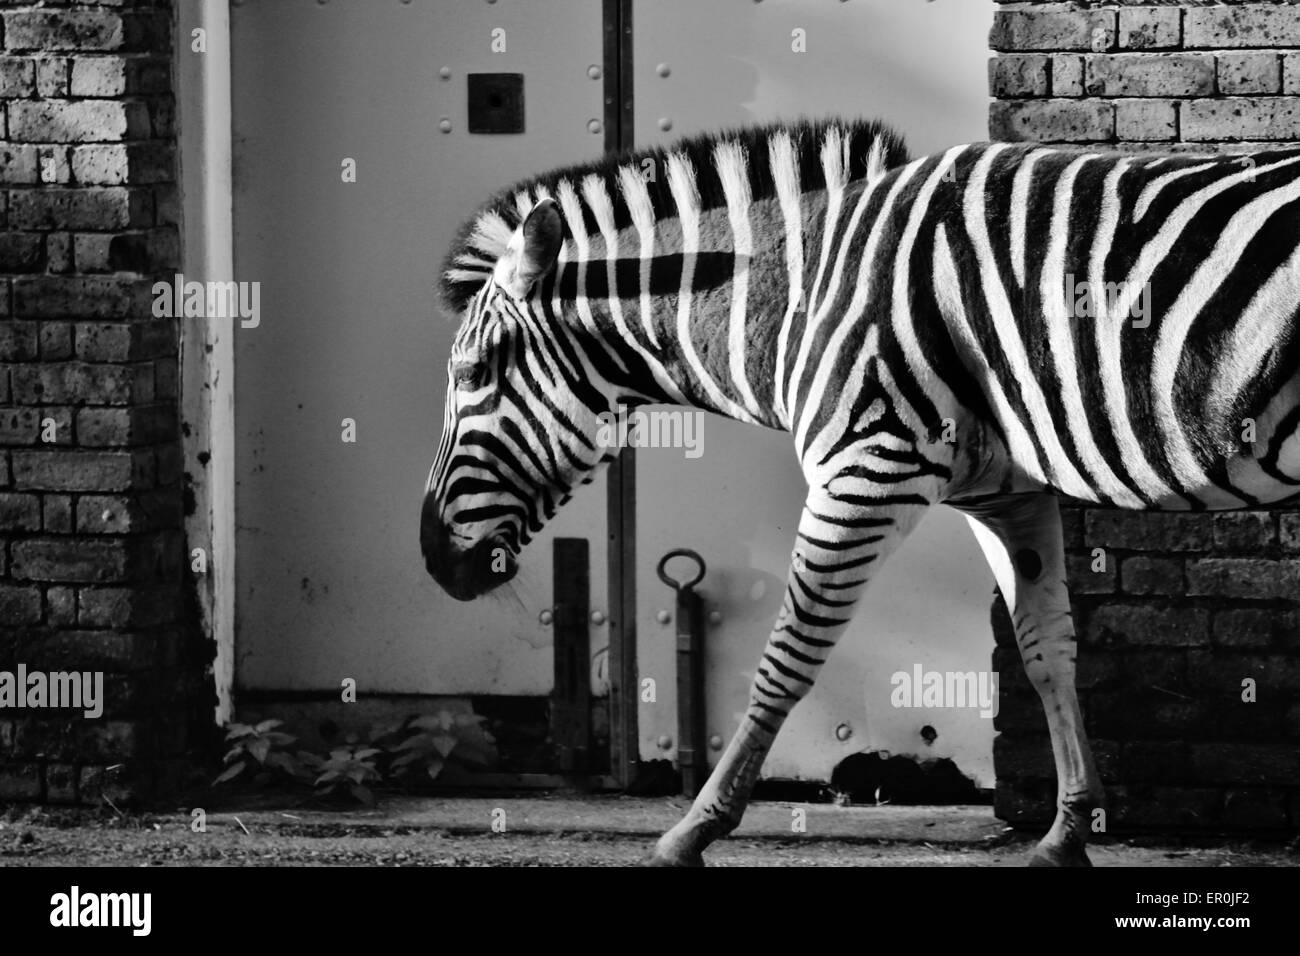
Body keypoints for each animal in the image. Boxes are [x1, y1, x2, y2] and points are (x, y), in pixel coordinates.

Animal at [420, 117, 1300, 866]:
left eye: (473, 373)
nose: (434, 560)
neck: (806, 291)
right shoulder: (1004, 493)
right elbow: (1047, 650)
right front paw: (1066, 833)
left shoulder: (867, 465)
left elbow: (784, 658)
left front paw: (692, 829)